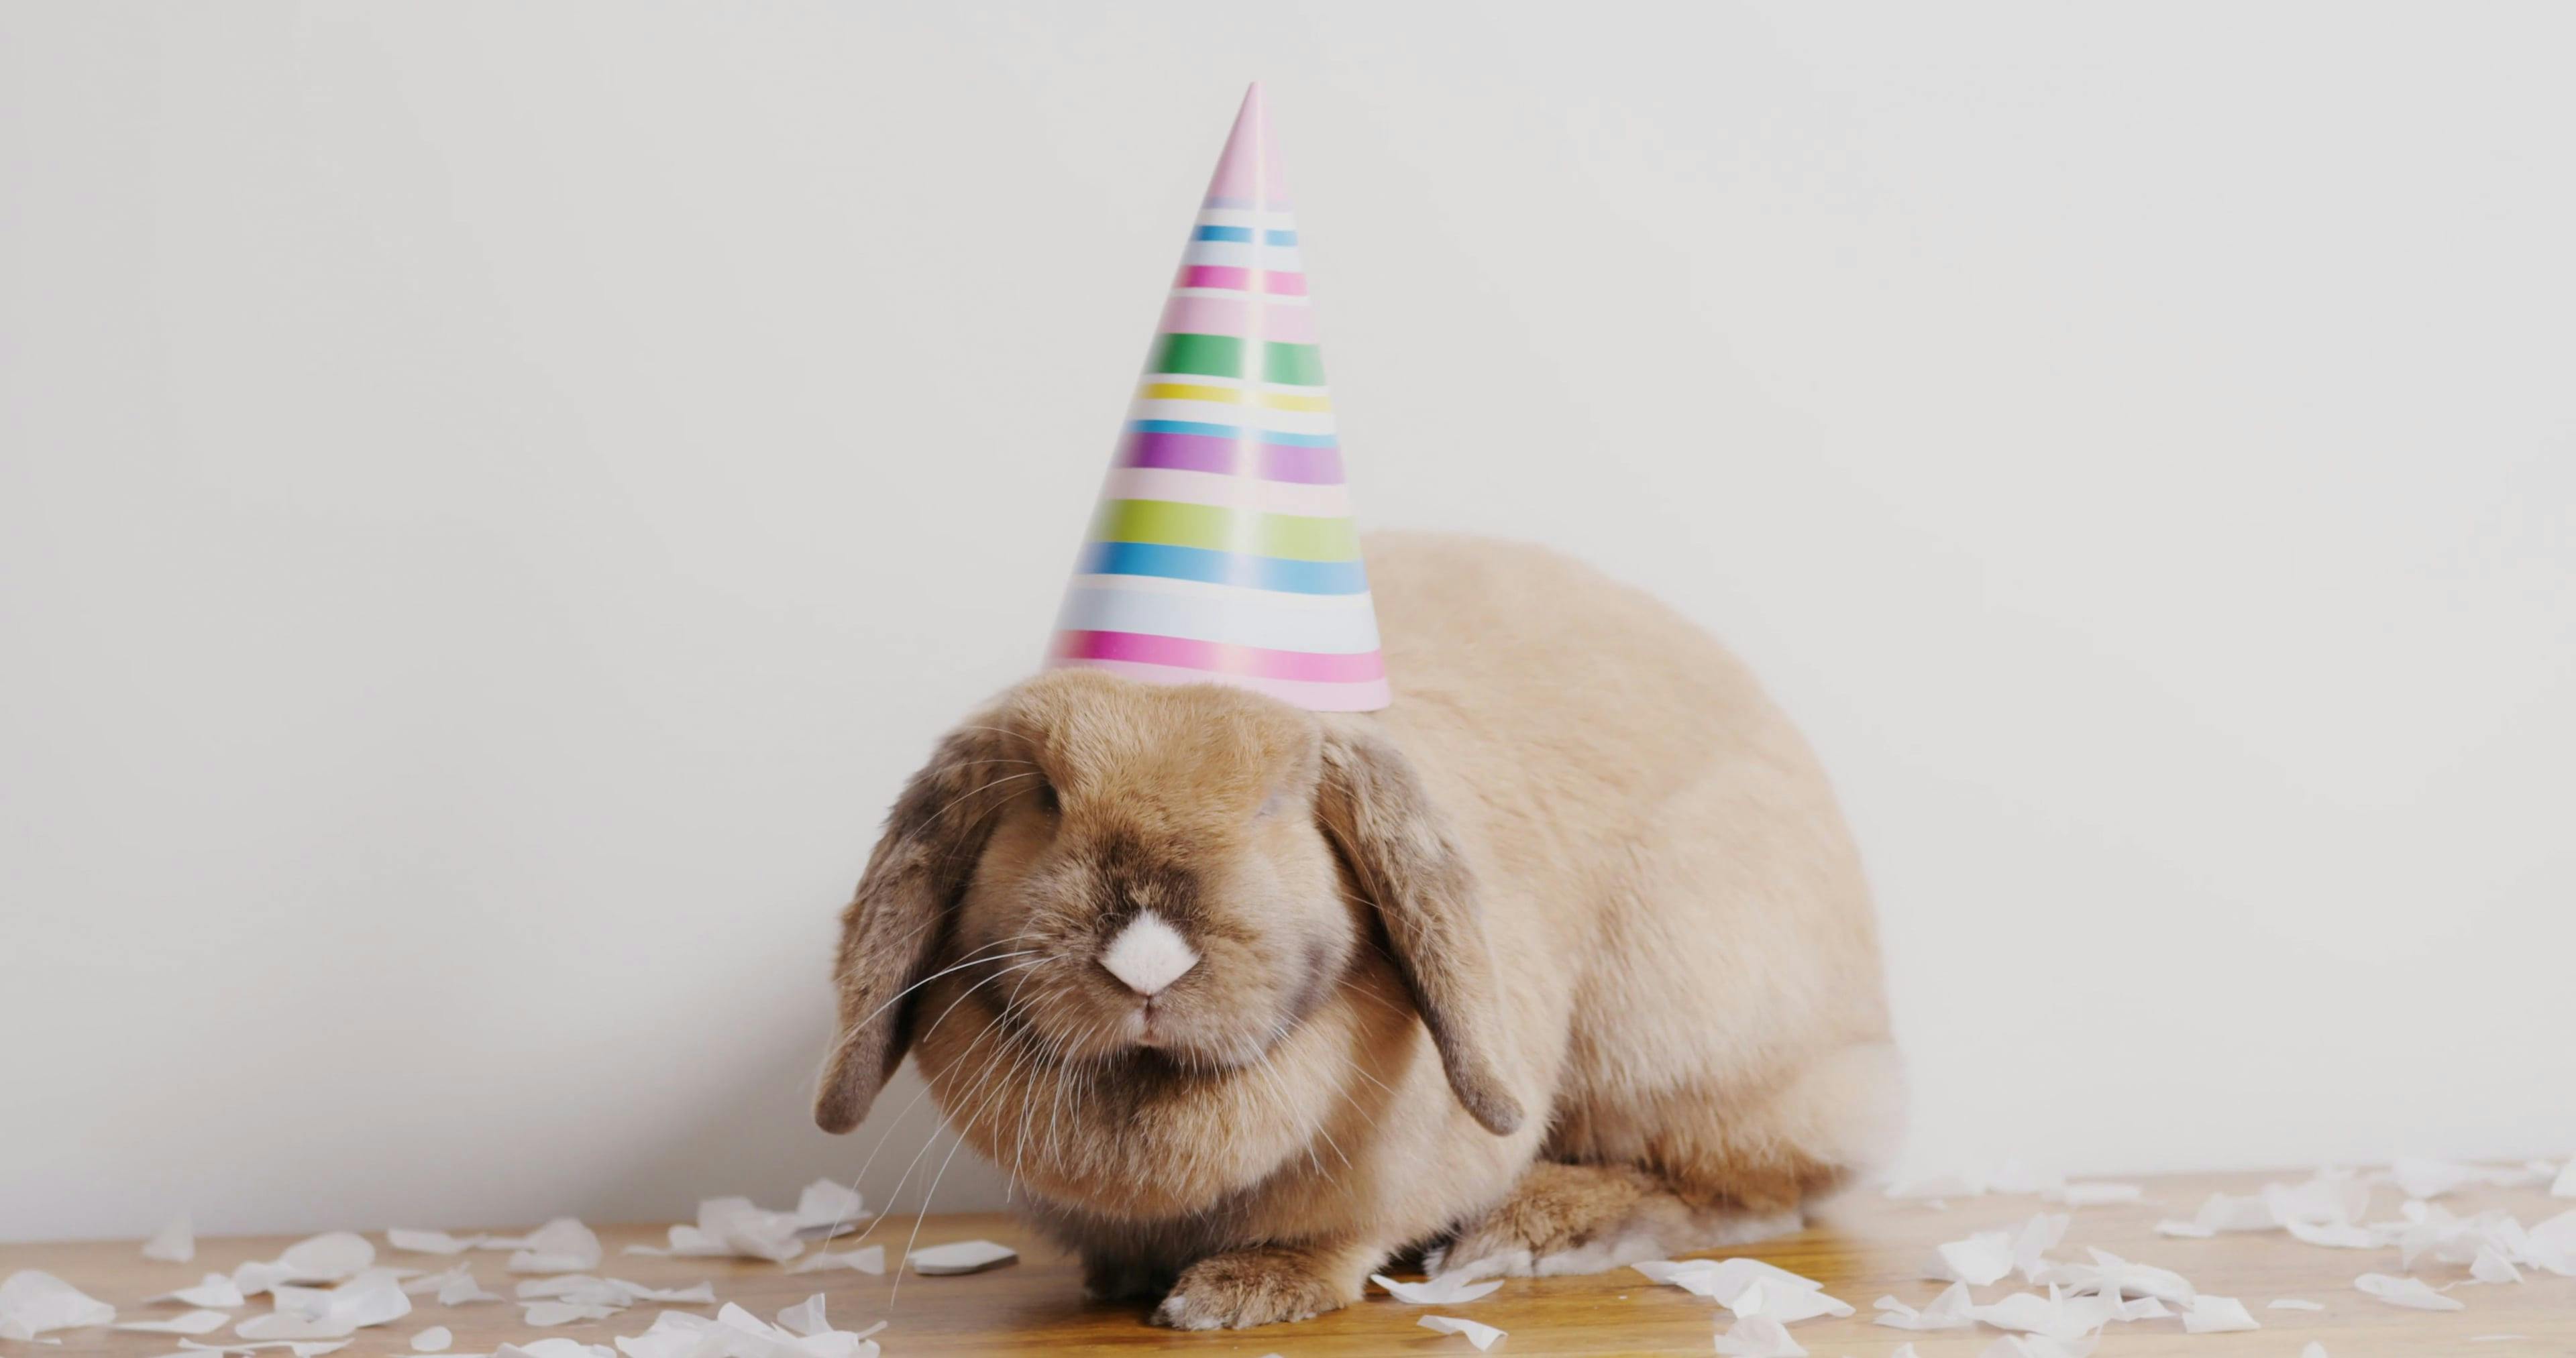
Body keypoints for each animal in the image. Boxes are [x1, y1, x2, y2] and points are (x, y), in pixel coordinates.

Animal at [814, 531, 1902, 1329]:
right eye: (1044, 796)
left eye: (1274, 803)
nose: (1145, 956)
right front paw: (1129, 1280)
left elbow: (1335, 1240)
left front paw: (1237, 1296)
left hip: (1687, 1036)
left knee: (1757, 1186)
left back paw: (1534, 1231)